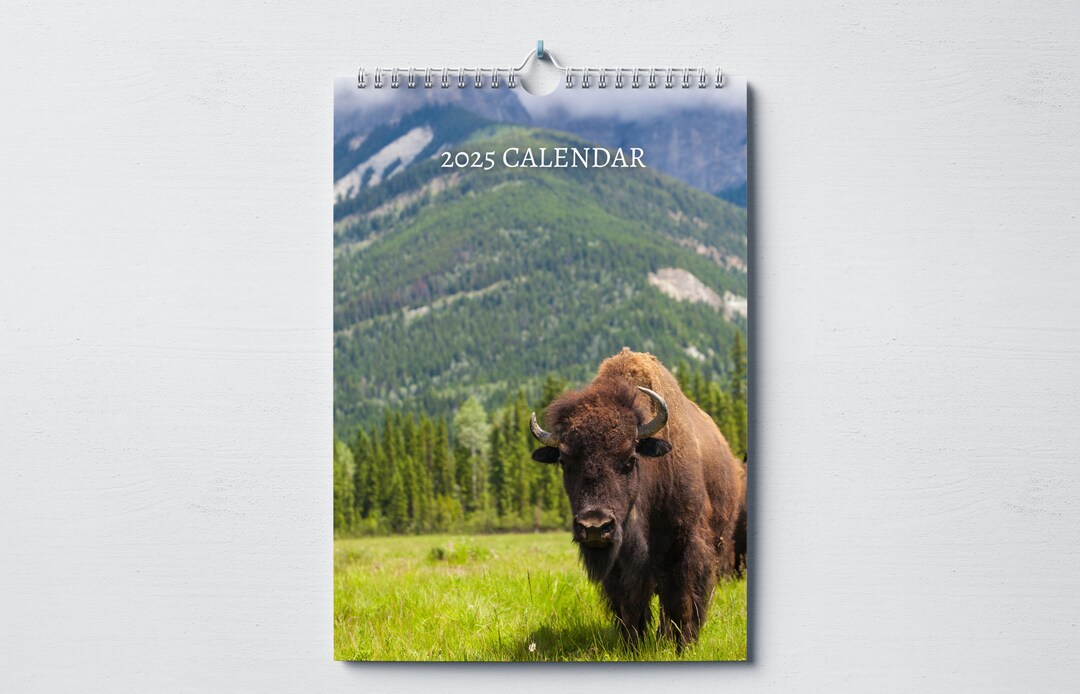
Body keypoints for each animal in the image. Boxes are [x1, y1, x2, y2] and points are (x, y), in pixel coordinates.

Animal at [530, 348, 746, 648]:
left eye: (630, 458)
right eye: (564, 461)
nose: (595, 526)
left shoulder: (686, 546)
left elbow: (682, 600)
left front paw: (683, 645)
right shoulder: (621, 565)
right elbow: (630, 605)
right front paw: (633, 645)